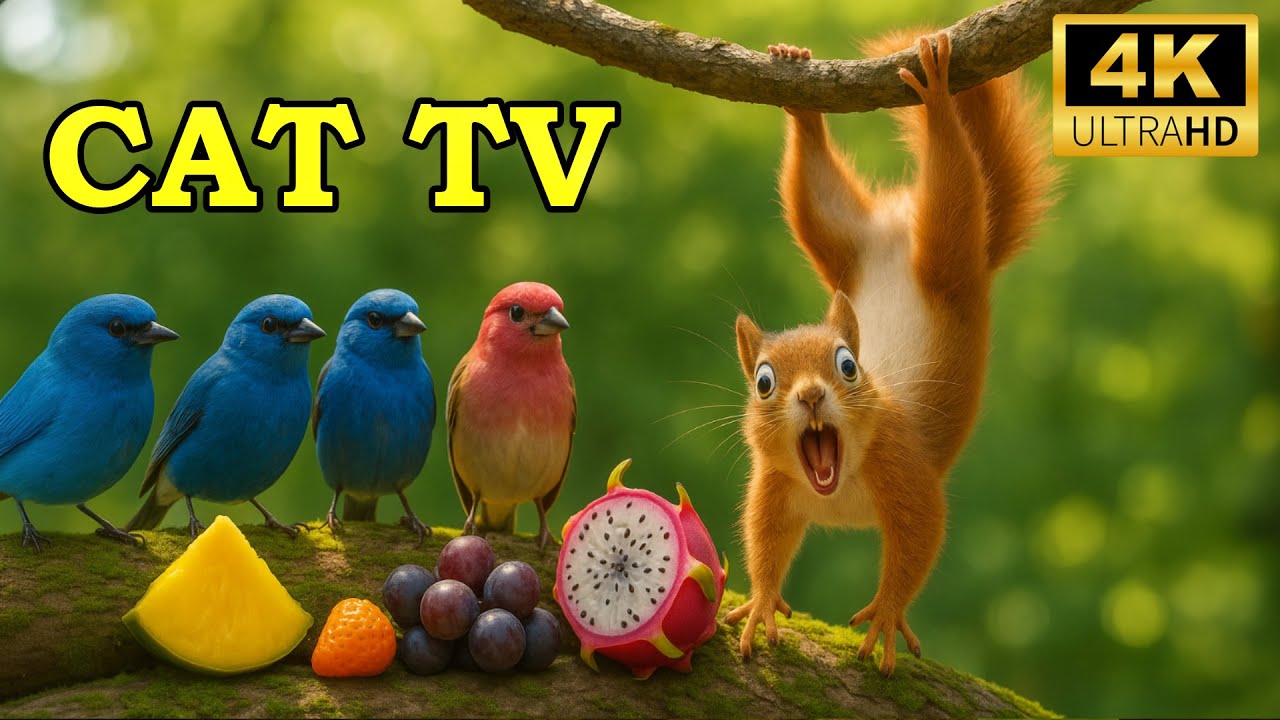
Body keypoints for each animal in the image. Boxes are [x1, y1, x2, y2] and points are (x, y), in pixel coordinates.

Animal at [724, 31, 1057, 677]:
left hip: (949, 254)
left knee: (954, 182)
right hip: (838, 237)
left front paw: (885, 616)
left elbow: (921, 536)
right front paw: (762, 603)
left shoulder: (904, 465)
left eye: (848, 366)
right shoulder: (772, 485)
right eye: (764, 382)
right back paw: (801, 99)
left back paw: (938, 99)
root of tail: (896, 231)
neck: (837, 484)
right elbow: (765, 539)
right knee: (815, 188)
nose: (811, 395)